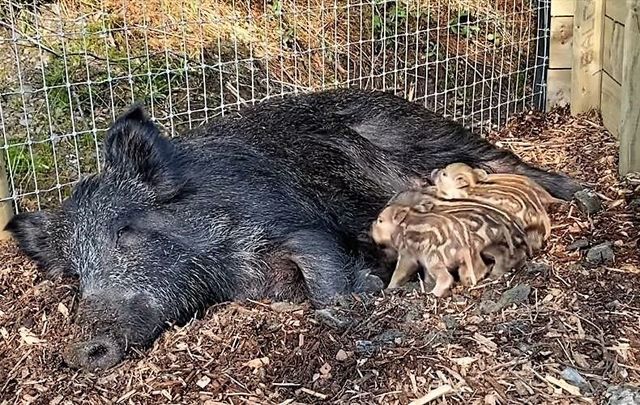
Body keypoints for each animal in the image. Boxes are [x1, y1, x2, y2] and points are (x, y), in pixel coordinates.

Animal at [5, 88, 582, 371]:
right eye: (75, 271)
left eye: (126, 232)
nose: (79, 351)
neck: (226, 273)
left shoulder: (290, 220)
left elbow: (322, 266)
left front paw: (359, 294)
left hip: (432, 138)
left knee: (504, 160)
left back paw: (582, 193)